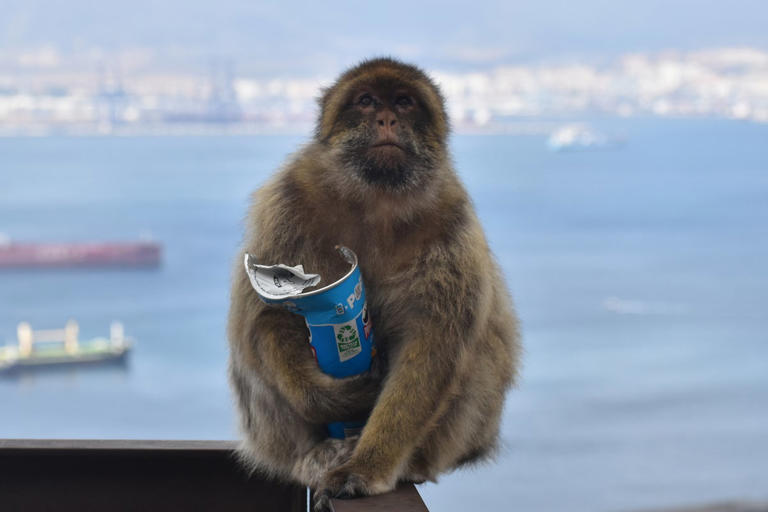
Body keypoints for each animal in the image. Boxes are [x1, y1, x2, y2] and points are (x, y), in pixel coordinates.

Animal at [227, 57, 521, 510]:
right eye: (366, 101)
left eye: (404, 102)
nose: (386, 118)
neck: (376, 198)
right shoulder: (287, 199)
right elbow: (266, 317)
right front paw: (338, 398)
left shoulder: (453, 222)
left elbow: (433, 346)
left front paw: (367, 468)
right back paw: (316, 453)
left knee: (483, 349)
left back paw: (409, 462)